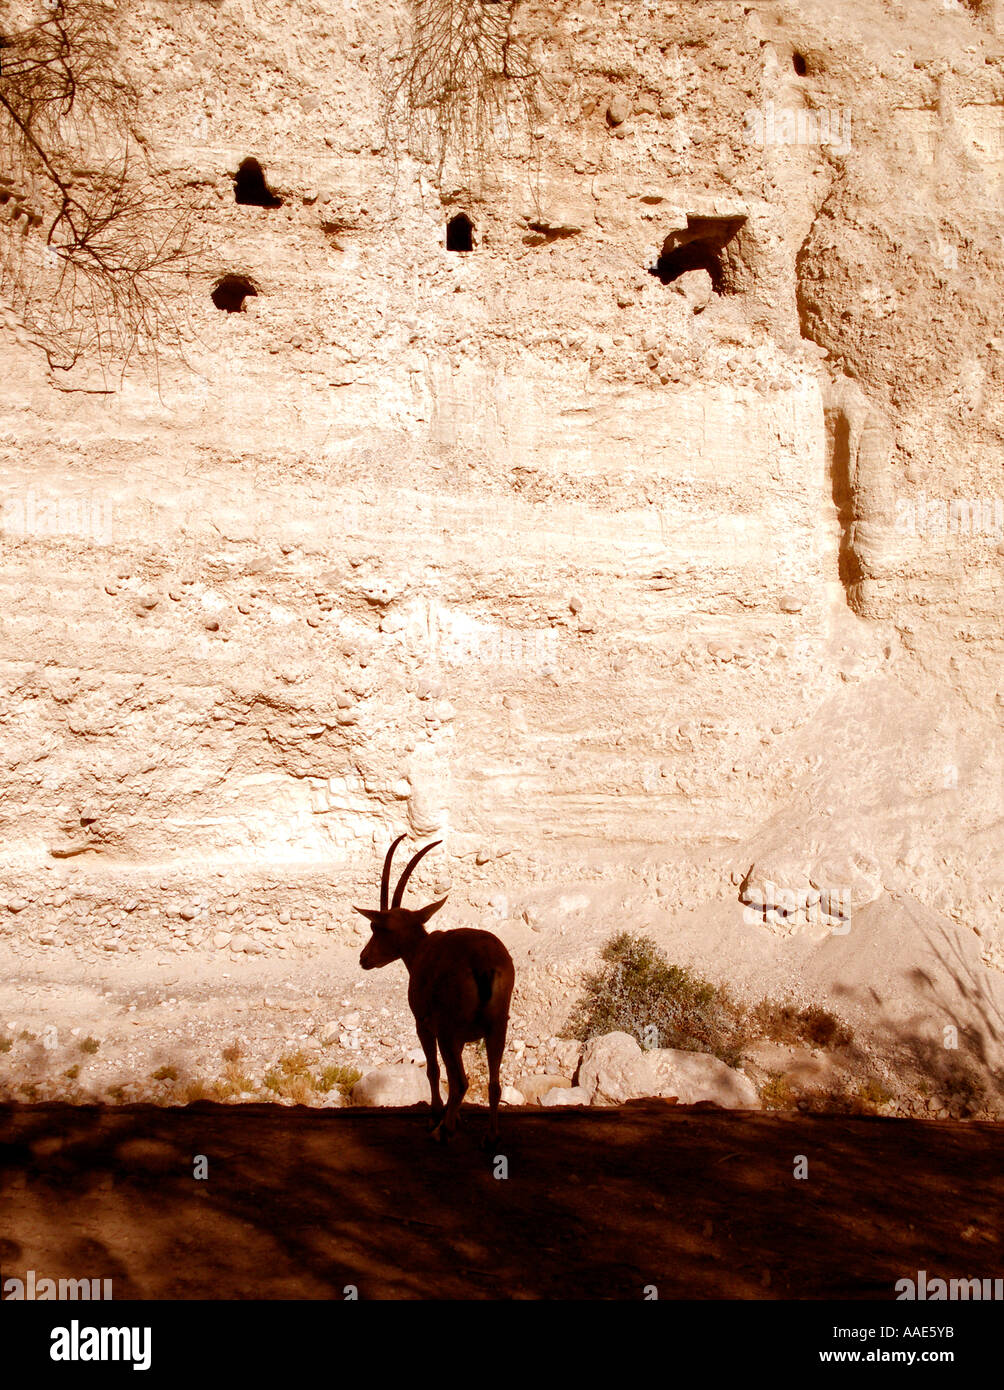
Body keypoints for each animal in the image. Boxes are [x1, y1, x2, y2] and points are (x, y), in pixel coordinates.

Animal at [355, 833, 515, 1145]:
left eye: (376, 927)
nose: (364, 959)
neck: (420, 950)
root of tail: (483, 963)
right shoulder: (461, 1037)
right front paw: (457, 1117)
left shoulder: (424, 1025)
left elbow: (433, 1070)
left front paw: (437, 1117)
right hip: (496, 1027)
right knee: (493, 1083)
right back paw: (491, 1135)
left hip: (448, 1030)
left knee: (461, 1080)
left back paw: (443, 1131)